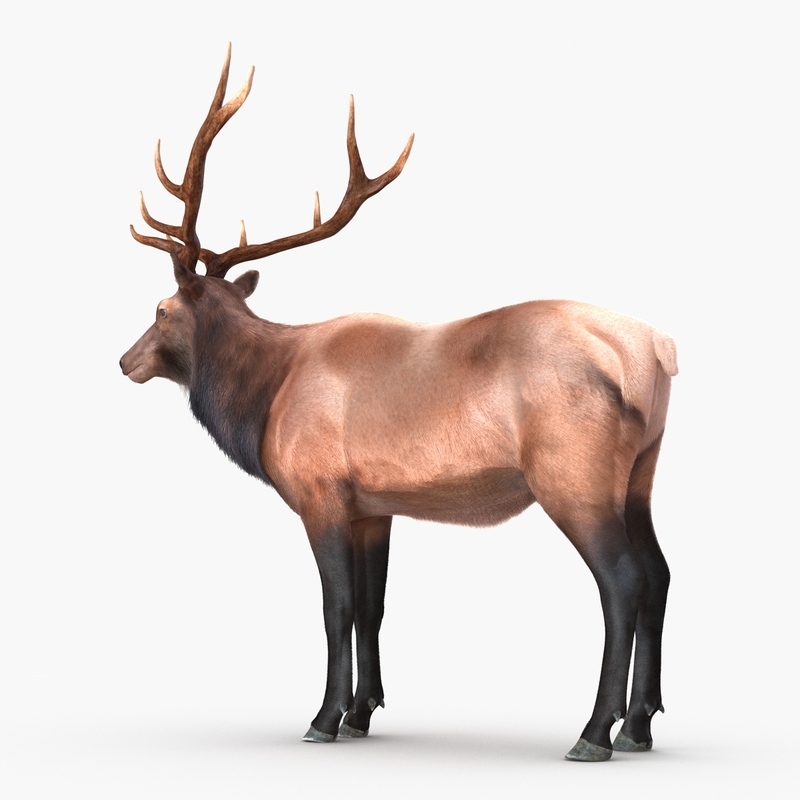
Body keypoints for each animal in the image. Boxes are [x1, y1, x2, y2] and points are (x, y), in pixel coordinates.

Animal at [120, 44, 677, 762]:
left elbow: (335, 609)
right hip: (640, 474)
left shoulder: (321, 492)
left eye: (160, 309)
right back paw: (639, 725)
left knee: (623, 582)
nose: (124, 360)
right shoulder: (373, 507)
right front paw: (363, 711)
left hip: (573, 476)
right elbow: (372, 607)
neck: (264, 397)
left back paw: (594, 731)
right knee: (660, 574)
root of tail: (654, 353)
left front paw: (324, 716)